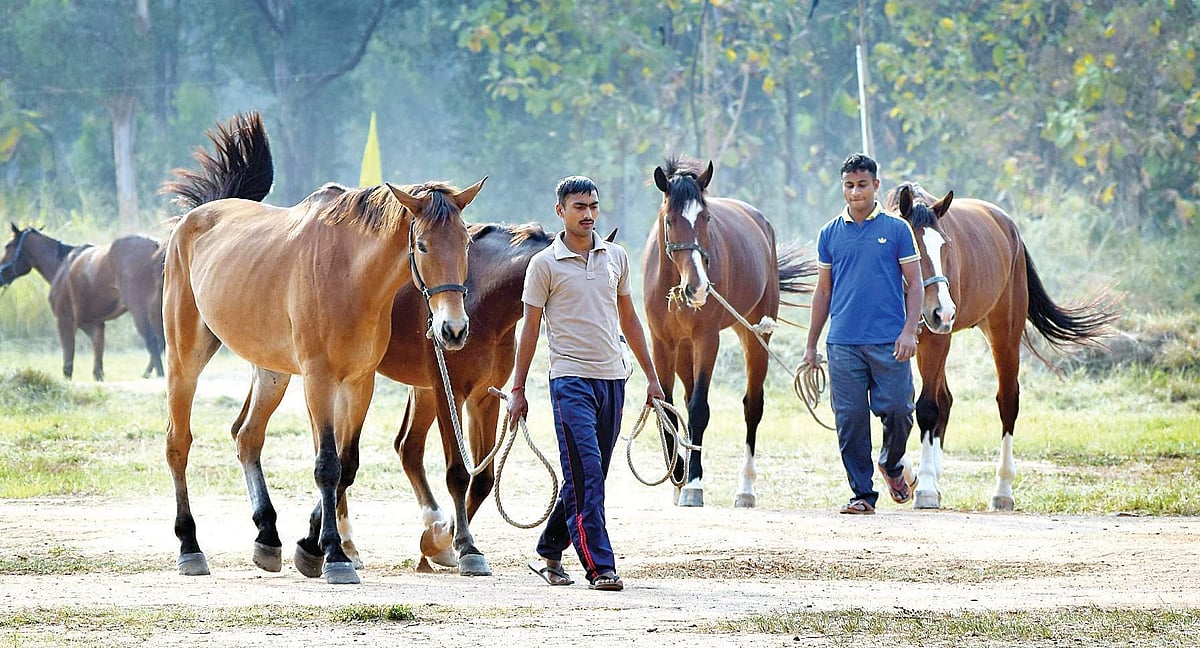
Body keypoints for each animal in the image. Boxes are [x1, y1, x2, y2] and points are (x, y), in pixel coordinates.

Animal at [1, 225, 165, 380]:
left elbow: (68, 367)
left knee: (154, 343)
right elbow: (98, 371)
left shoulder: (65, 321)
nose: (0, 276)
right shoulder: (95, 326)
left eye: (8, 246)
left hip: (141, 312)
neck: (63, 266)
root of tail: (156, 247)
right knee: (162, 343)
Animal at [159, 111, 481, 585]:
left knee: (247, 437)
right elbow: (326, 464)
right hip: (185, 360)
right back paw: (190, 547)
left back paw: (267, 537)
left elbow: (346, 464)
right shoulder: (319, 379)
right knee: (178, 444)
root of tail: (192, 220)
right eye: (421, 245)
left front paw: (311, 547)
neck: (348, 275)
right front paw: (335, 555)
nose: (453, 329)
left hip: (272, 372)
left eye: (467, 243)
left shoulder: (358, 383)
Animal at [645, 156, 816, 508]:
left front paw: (693, 484)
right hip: (684, 350)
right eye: (670, 220)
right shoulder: (662, 343)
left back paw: (746, 489)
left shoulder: (707, 339)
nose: (697, 288)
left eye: (706, 218)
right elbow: (667, 408)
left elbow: (699, 409)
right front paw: (678, 479)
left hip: (754, 336)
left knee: (753, 406)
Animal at [886, 182, 1117, 511]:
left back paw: (1002, 489)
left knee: (1006, 402)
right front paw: (909, 473)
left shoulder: (936, 338)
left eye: (945, 247)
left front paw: (925, 487)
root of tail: (1010, 229)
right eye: (912, 248)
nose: (943, 311)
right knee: (946, 400)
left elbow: (926, 408)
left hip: (1003, 334)